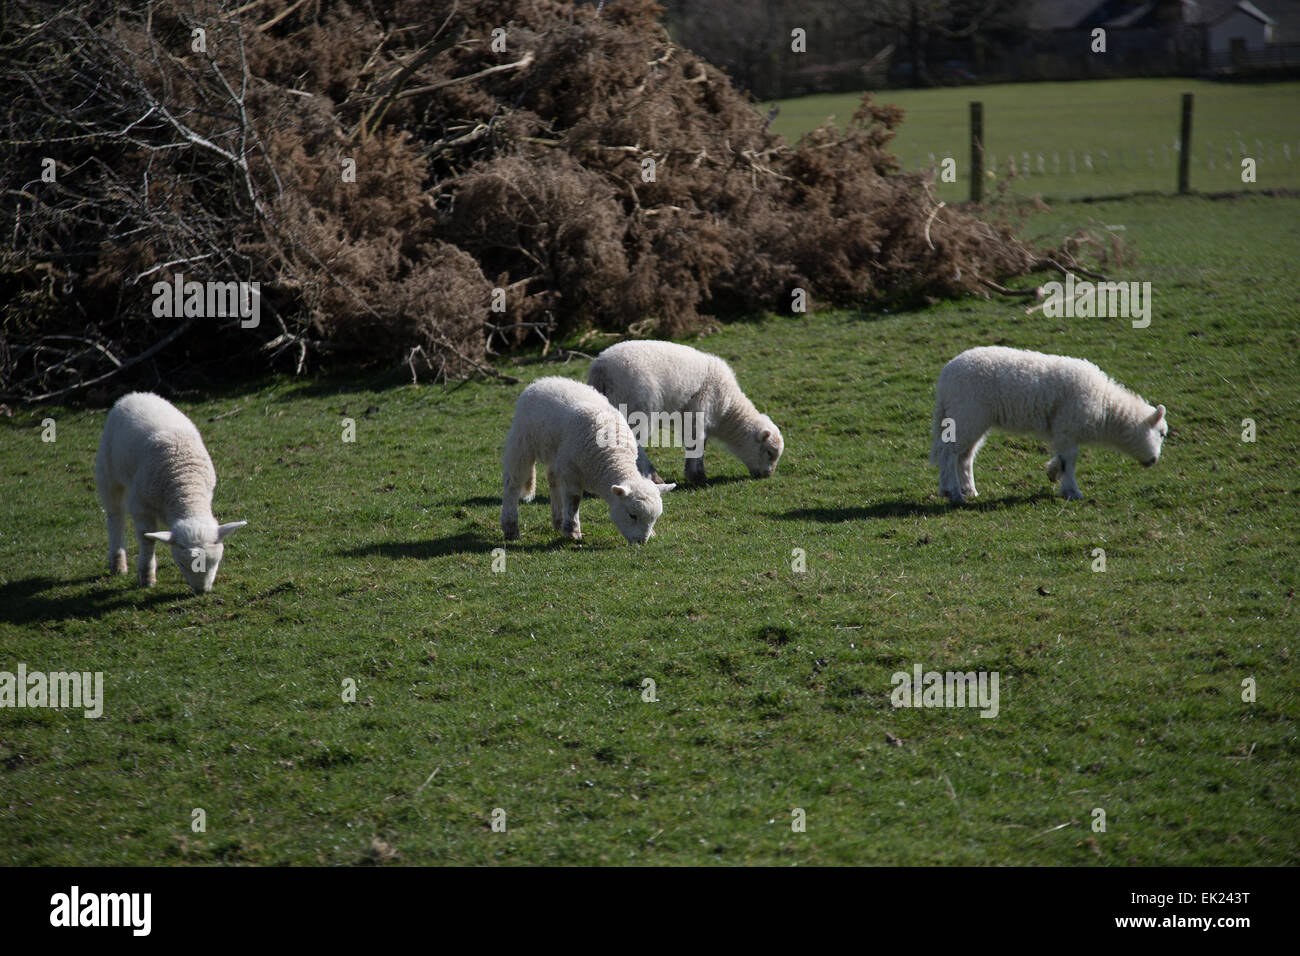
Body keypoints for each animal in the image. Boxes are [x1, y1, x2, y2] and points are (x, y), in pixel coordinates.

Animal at [94, 392, 247, 592]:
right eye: (181, 564)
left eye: (215, 562)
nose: (201, 591)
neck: (185, 486)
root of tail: (135, 395)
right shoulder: (140, 505)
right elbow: (147, 540)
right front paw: (146, 577)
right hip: (108, 471)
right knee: (115, 516)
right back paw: (118, 563)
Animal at [501, 377, 675, 544]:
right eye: (632, 515)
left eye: (654, 519)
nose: (641, 542)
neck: (613, 456)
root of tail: (542, 381)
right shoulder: (571, 471)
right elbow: (573, 499)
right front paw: (572, 531)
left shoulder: (567, 464)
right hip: (522, 441)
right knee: (513, 483)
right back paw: (511, 528)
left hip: (557, 453)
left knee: (553, 480)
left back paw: (558, 520)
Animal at [587, 340, 783, 484]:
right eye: (769, 453)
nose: (767, 475)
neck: (727, 411)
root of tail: (601, 370)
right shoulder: (699, 412)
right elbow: (697, 443)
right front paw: (698, 476)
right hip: (637, 408)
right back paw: (652, 476)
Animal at [929, 346, 1167, 503]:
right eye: (1162, 434)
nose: (1154, 461)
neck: (1105, 407)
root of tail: (944, 377)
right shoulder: (1067, 426)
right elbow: (1069, 460)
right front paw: (1072, 491)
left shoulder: (1062, 431)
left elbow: (1062, 458)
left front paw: (1053, 474)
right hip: (966, 414)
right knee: (948, 452)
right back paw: (953, 493)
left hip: (968, 418)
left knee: (964, 456)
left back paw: (967, 489)